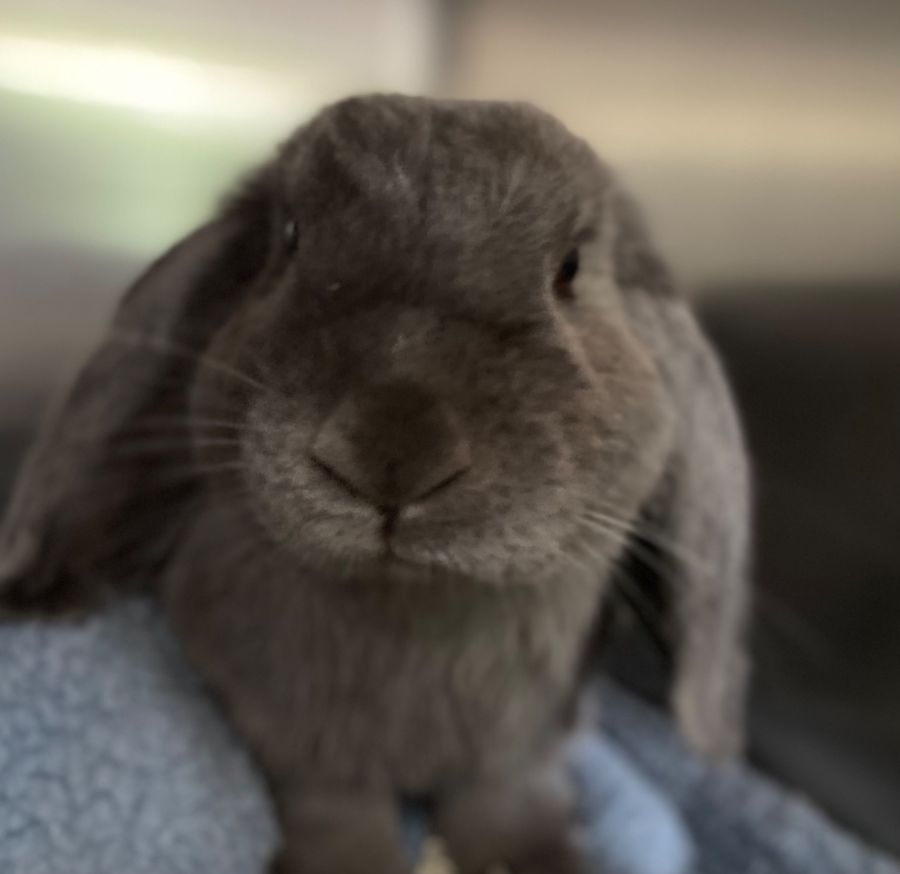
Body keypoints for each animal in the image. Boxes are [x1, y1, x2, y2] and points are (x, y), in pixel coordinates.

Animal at [0, 94, 750, 874]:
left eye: (570, 269)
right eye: (291, 238)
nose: (393, 454)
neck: (411, 603)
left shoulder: (522, 745)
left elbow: (506, 798)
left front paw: (542, 858)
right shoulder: (296, 739)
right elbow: (334, 803)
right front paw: (347, 861)